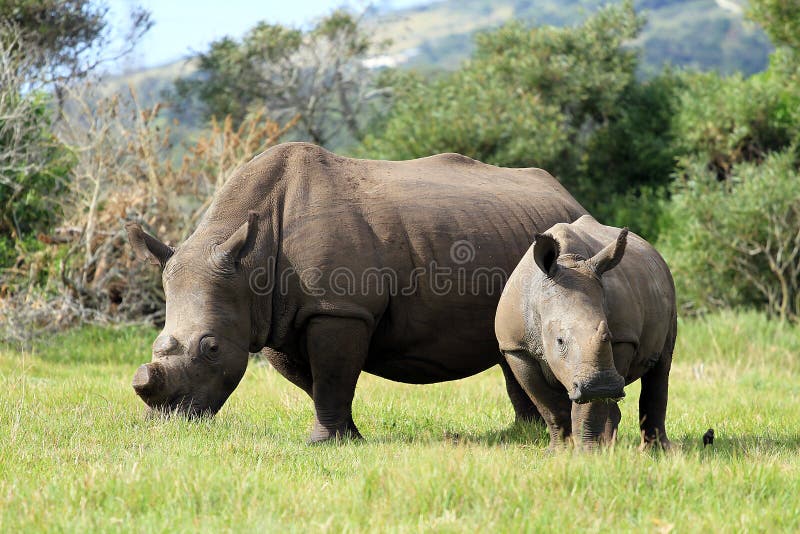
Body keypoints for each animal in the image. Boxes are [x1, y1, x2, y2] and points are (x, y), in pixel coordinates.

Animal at [125, 142, 587, 442]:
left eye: (212, 348)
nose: (166, 423)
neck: (250, 259)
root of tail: (569, 196)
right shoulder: (276, 315)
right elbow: (317, 382)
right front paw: (346, 438)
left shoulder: (338, 309)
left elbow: (332, 376)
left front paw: (324, 443)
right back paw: (522, 433)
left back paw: (528, 434)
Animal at [495, 215, 676, 449]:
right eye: (560, 341)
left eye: (609, 335)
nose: (602, 385)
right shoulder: (517, 348)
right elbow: (548, 405)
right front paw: (560, 451)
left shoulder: (622, 340)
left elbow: (589, 406)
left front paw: (588, 451)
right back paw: (611, 446)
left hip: (668, 288)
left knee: (661, 366)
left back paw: (656, 451)